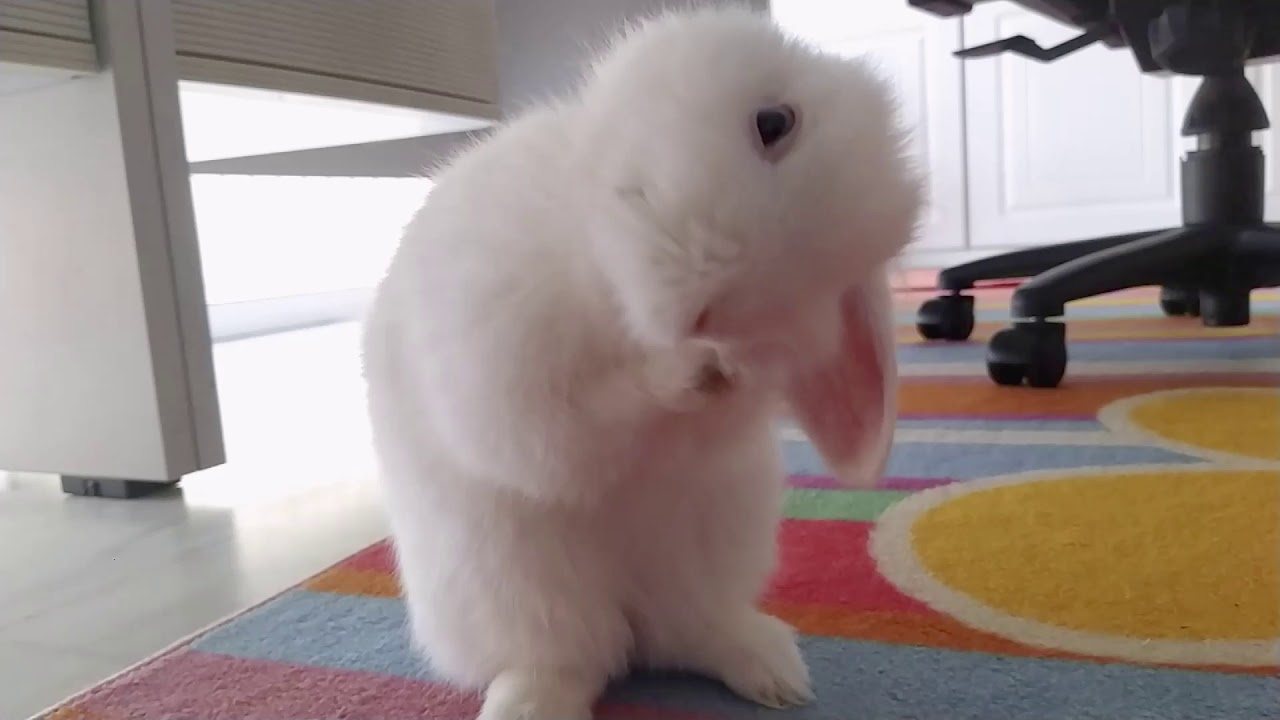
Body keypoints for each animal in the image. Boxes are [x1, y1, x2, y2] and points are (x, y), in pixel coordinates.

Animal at [360, 6, 922, 720]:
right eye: (774, 123)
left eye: (829, 285)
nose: (709, 320)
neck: (616, 302)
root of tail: (627, 610)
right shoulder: (497, 371)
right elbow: (565, 433)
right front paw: (692, 370)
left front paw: (711, 371)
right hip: (513, 586)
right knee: (574, 660)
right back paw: (529, 705)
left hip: (713, 552)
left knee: (685, 634)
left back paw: (777, 676)